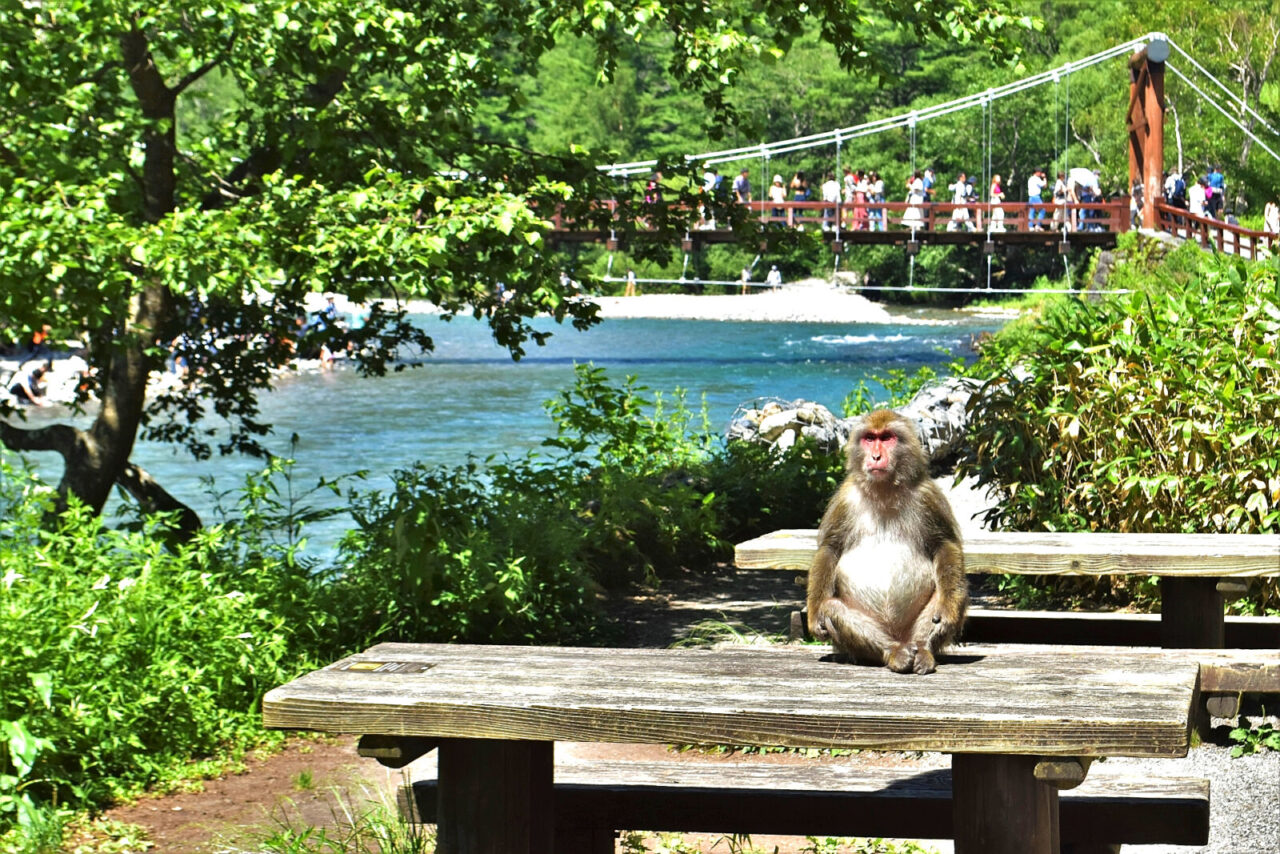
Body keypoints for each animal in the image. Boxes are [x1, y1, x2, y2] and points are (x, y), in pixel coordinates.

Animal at [806, 409, 967, 674]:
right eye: (870, 438)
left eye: (887, 437)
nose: (876, 456)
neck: (884, 490)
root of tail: (902, 639)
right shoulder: (845, 497)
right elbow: (830, 549)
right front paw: (812, 616)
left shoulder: (928, 495)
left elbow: (945, 545)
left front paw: (947, 611)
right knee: (832, 609)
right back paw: (894, 653)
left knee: (945, 600)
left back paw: (923, 650)